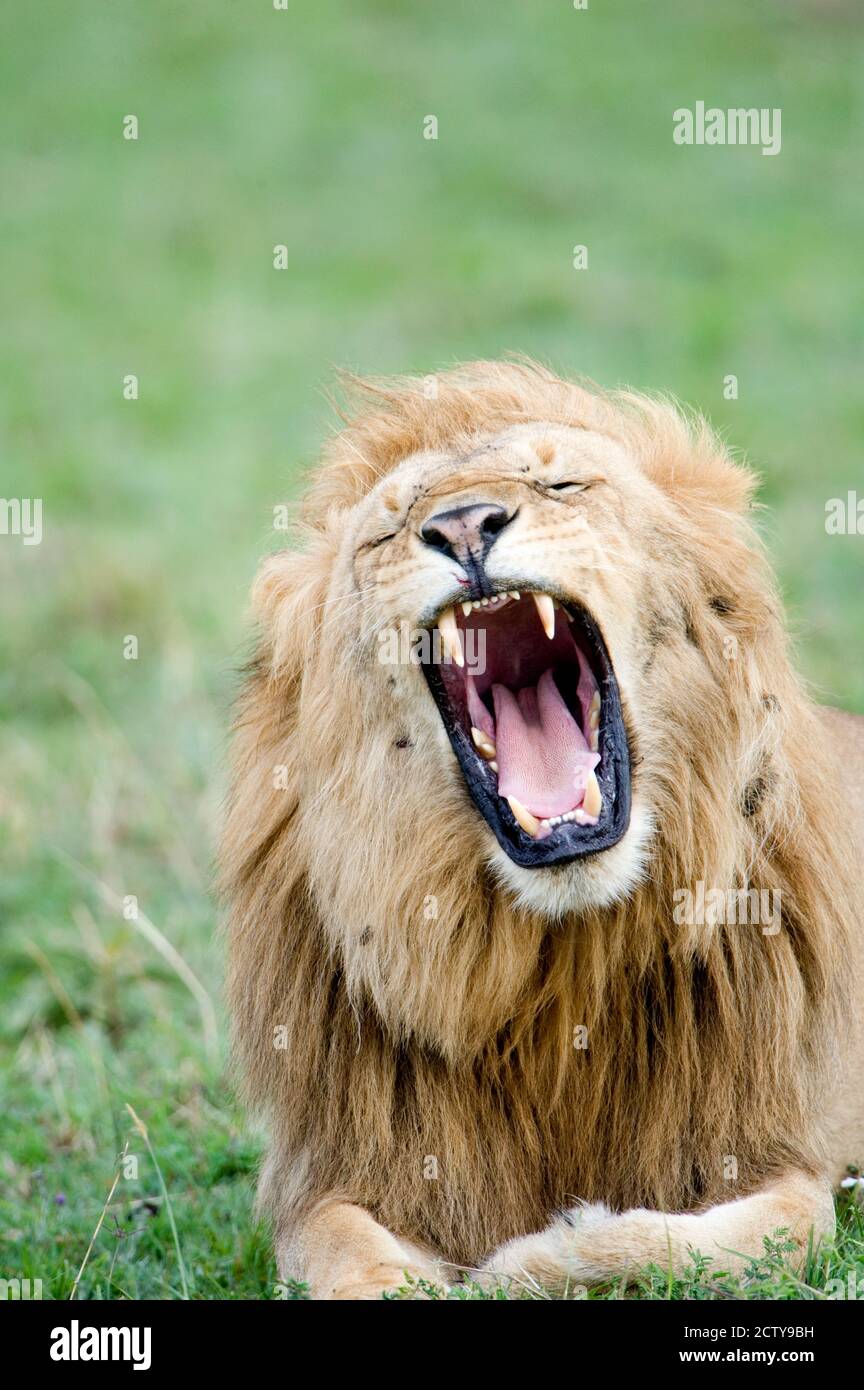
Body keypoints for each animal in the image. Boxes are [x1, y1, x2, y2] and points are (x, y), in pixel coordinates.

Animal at [221, 360, 864, 1299]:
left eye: (562, 485)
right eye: (388, 532)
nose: (463, 526)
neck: (557, 970)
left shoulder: (793, 1163)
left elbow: (727, 1238)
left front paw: (526, 1263)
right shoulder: (330, 1176)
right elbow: (349, 1257)